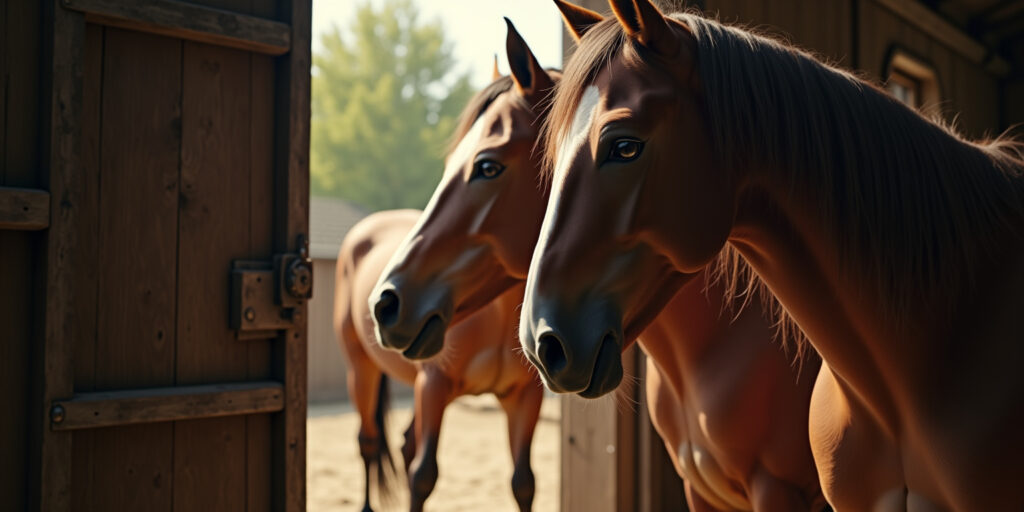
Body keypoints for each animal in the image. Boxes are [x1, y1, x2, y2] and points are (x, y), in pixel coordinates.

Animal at [335, 220, 542, 510]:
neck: (496, 311)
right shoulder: (435, 384)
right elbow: (423, 475)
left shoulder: (524, 396)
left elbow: (523, 482)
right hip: (362, 369)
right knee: (369, 442)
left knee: (406, 444)